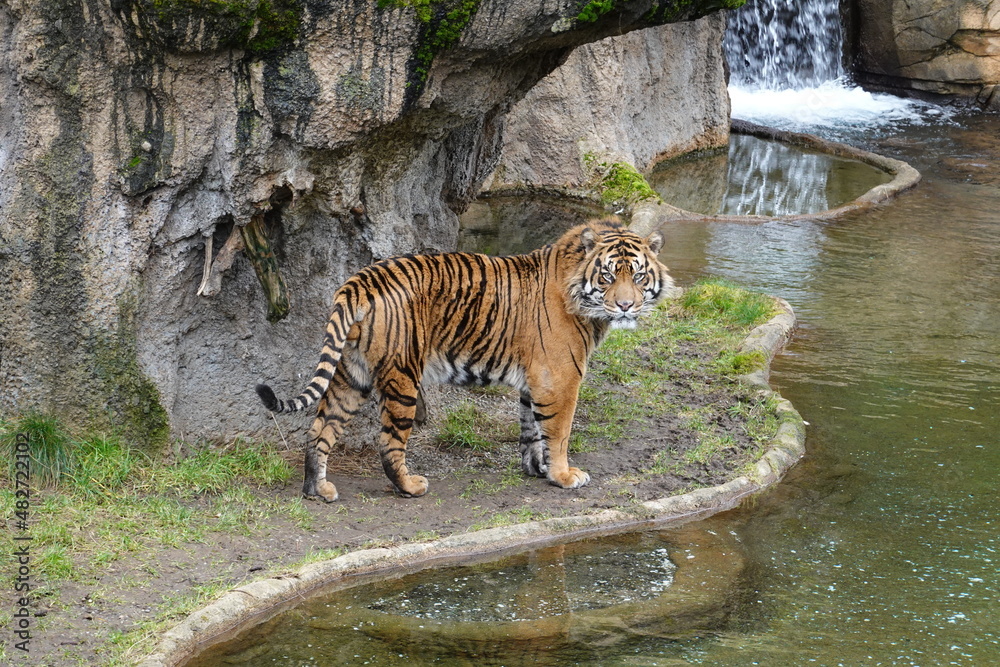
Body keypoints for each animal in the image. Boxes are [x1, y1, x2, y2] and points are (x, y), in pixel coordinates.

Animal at [255, 217, 672, 502]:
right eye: (607, 276)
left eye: (638, 276)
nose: (626, 305)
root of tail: (360, 280)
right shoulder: (560, 378)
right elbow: (559, 432)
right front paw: (564, 476)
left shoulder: (534, 380)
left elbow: (532, 429)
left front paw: (536, 469)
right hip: (403, 376)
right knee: (387, 441)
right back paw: (410, 486)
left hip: (350, 374)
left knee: (319, 429)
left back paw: (317, 489)